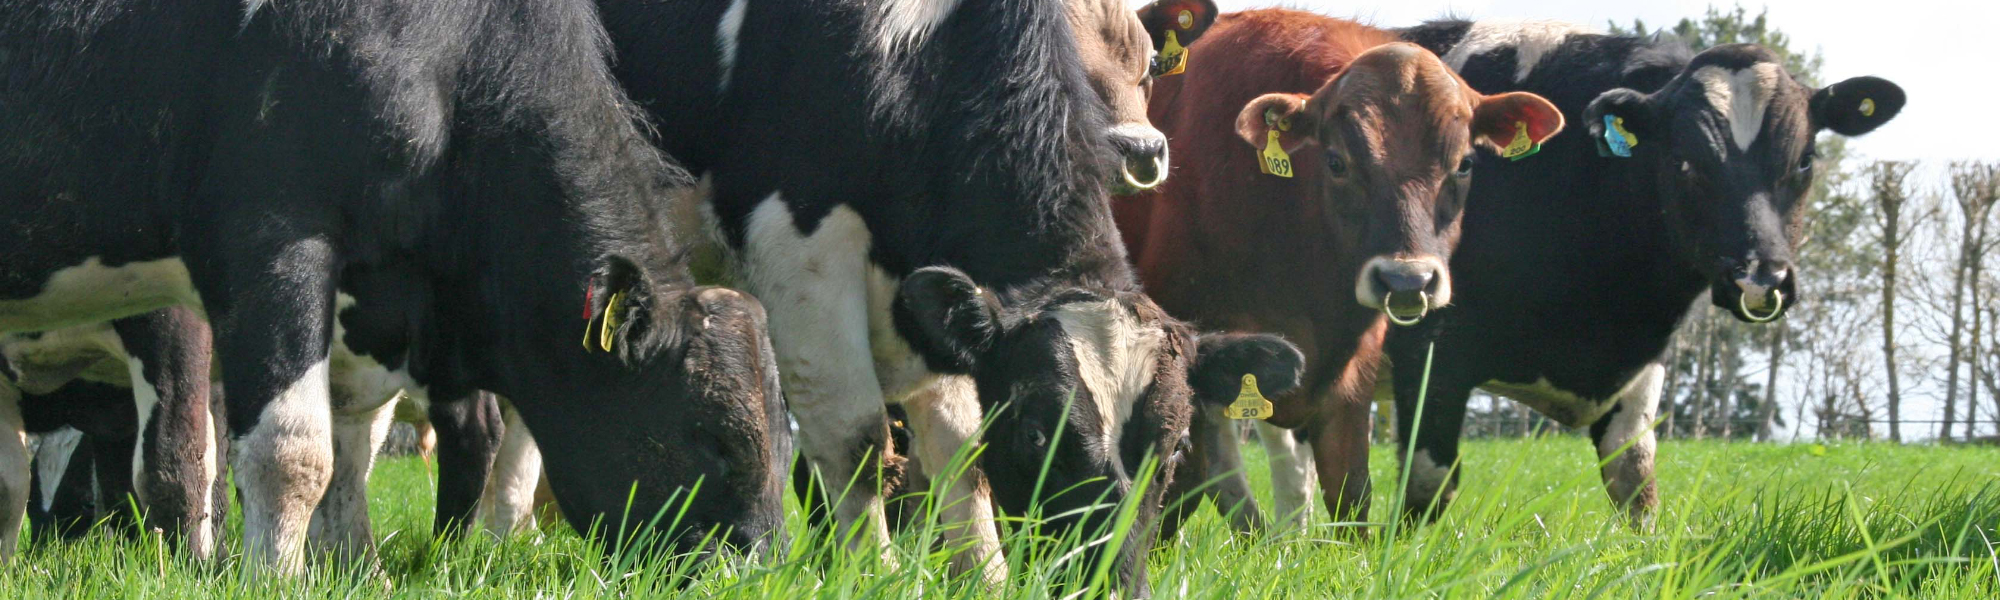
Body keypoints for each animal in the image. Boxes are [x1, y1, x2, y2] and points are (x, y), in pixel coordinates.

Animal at [2, 0, 789, 573]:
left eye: (785, 443)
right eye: (712, 437)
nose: (759, 569)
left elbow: (348, 461)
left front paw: (358, 571)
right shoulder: (269, 237)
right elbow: (289, 451)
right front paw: (273, 578)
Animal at [597, 0, 1300, 591]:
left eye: (1176, 446)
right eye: (1037, 434)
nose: (1111, 585)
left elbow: (964, 455)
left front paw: (986, 578)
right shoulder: (799, 248)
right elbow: (857, 441)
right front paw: (871, 575)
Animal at [1365, 20, 1904, 526]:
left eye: (1806, 159)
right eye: (1684, 162)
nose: (1760, 280)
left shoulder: (1642, 360)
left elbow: (1635, 480)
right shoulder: (1429, 346)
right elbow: (1428, 482)